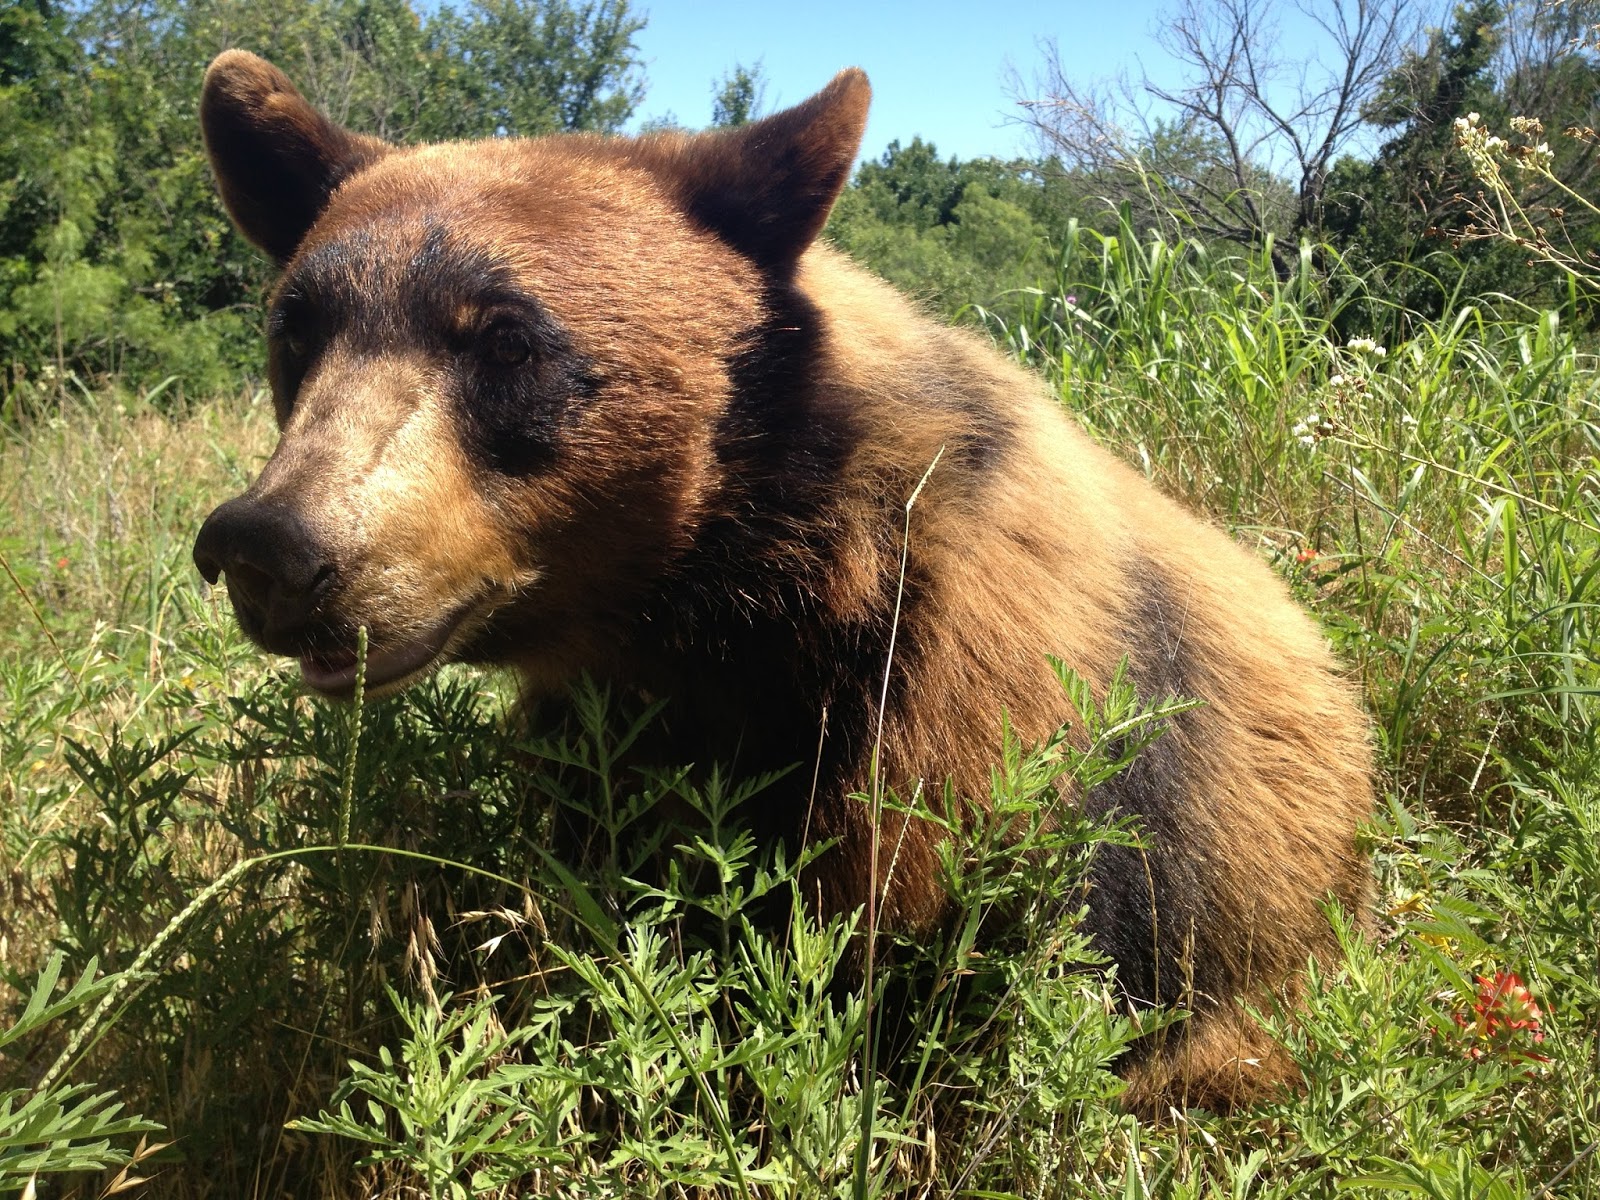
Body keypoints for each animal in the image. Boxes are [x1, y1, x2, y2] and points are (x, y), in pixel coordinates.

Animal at [191, 49, 1374, 1111]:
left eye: (510, 343)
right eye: (295, 330)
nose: (265, 548)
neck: (727, 600)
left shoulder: (964, 713)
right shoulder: (608, 733)